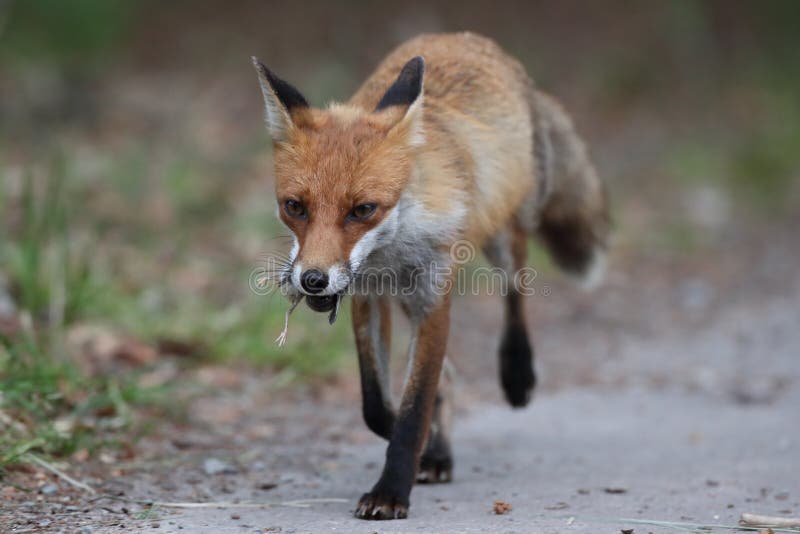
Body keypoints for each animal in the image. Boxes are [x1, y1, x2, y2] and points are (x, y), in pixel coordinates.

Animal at [252, 32, 609, 520]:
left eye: (363, 210)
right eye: (294, 207)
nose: (313, 280)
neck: (393, 249)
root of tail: (464, 38)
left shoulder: (433, 298)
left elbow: (414, 407)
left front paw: (392, 489)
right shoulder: (368, 299)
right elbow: (377, 406)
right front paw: (429, 452)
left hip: (505, 231)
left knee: (515, 291)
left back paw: (517, 373)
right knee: (451, 375)